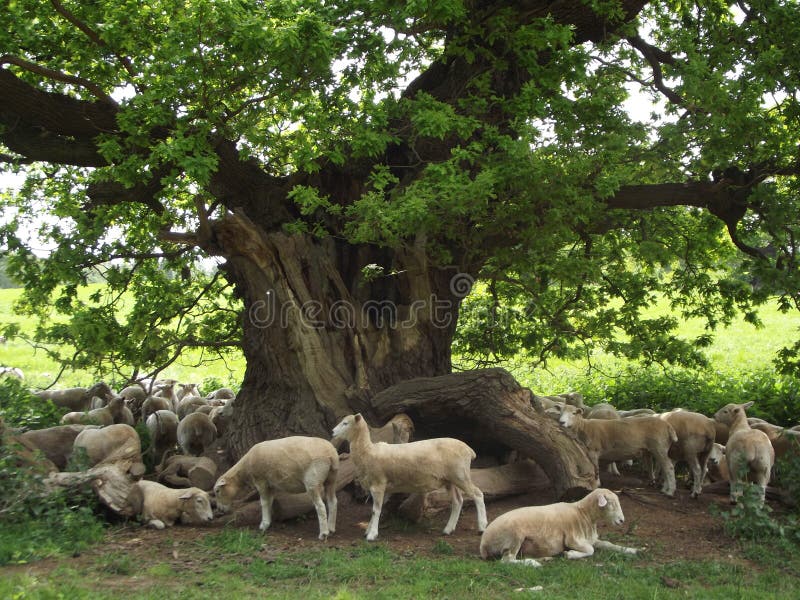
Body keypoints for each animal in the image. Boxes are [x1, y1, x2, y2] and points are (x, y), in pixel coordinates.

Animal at [331, 413, 488, 541]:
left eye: (345, 423)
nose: (332, 432)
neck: (367, 451)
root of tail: (469, 450)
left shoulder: (378, 484)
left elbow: (376, 510)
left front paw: (372, 535)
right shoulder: (380, 487)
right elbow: (374, 510)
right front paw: (368, 530)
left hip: (460, 475)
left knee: (478, 494)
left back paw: (482, 527)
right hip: (450, 480)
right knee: (458, 501)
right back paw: (448, 530)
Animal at [479, 488, 638, 566]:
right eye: (611, 503)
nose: (622, 520)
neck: (584, 514)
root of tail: (483, 543)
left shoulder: (590, 539)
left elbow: (608, 544)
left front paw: (632, 550)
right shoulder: (573, 539)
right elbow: (590, 550)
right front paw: (570, 554)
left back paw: (544, 559)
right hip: (514, 537)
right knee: (507, 561)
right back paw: (533, 563)